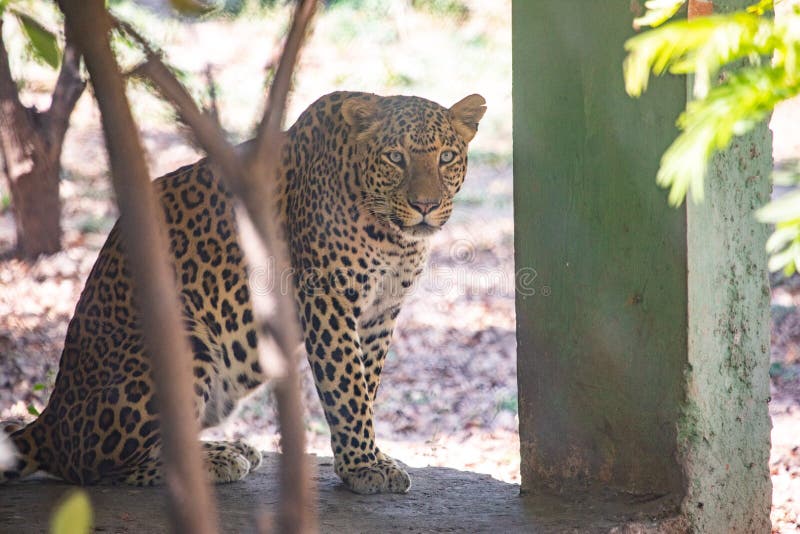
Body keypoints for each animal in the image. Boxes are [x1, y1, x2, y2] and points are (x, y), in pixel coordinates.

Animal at [1, 91, 486, 494]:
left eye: (446, 157)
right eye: (395, 157)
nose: (425, 205)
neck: (393, 236)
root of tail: (51, 420)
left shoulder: (381, 312)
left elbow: (367, 383)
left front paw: (365, 457)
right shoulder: (328, 298)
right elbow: (347, 385)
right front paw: (364, 467)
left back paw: (231, 448)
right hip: (183, 340)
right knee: (95, 468)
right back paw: (215, 462)